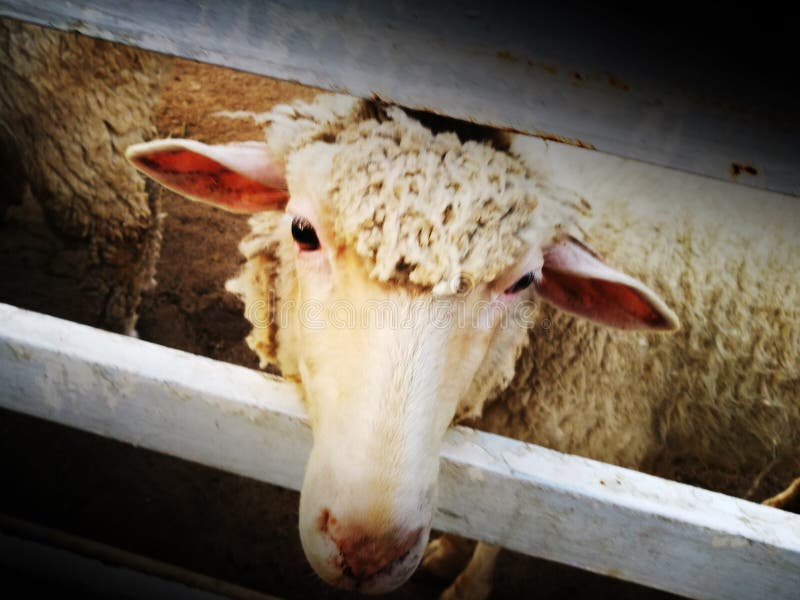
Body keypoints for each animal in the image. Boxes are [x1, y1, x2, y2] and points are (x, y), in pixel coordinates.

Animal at [126, 93, 800, 599]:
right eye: (302, 230)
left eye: (524, 282)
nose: (368, 549)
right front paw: (448, 550)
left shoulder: (574, 445)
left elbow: (508, 527)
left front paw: (463, 580)